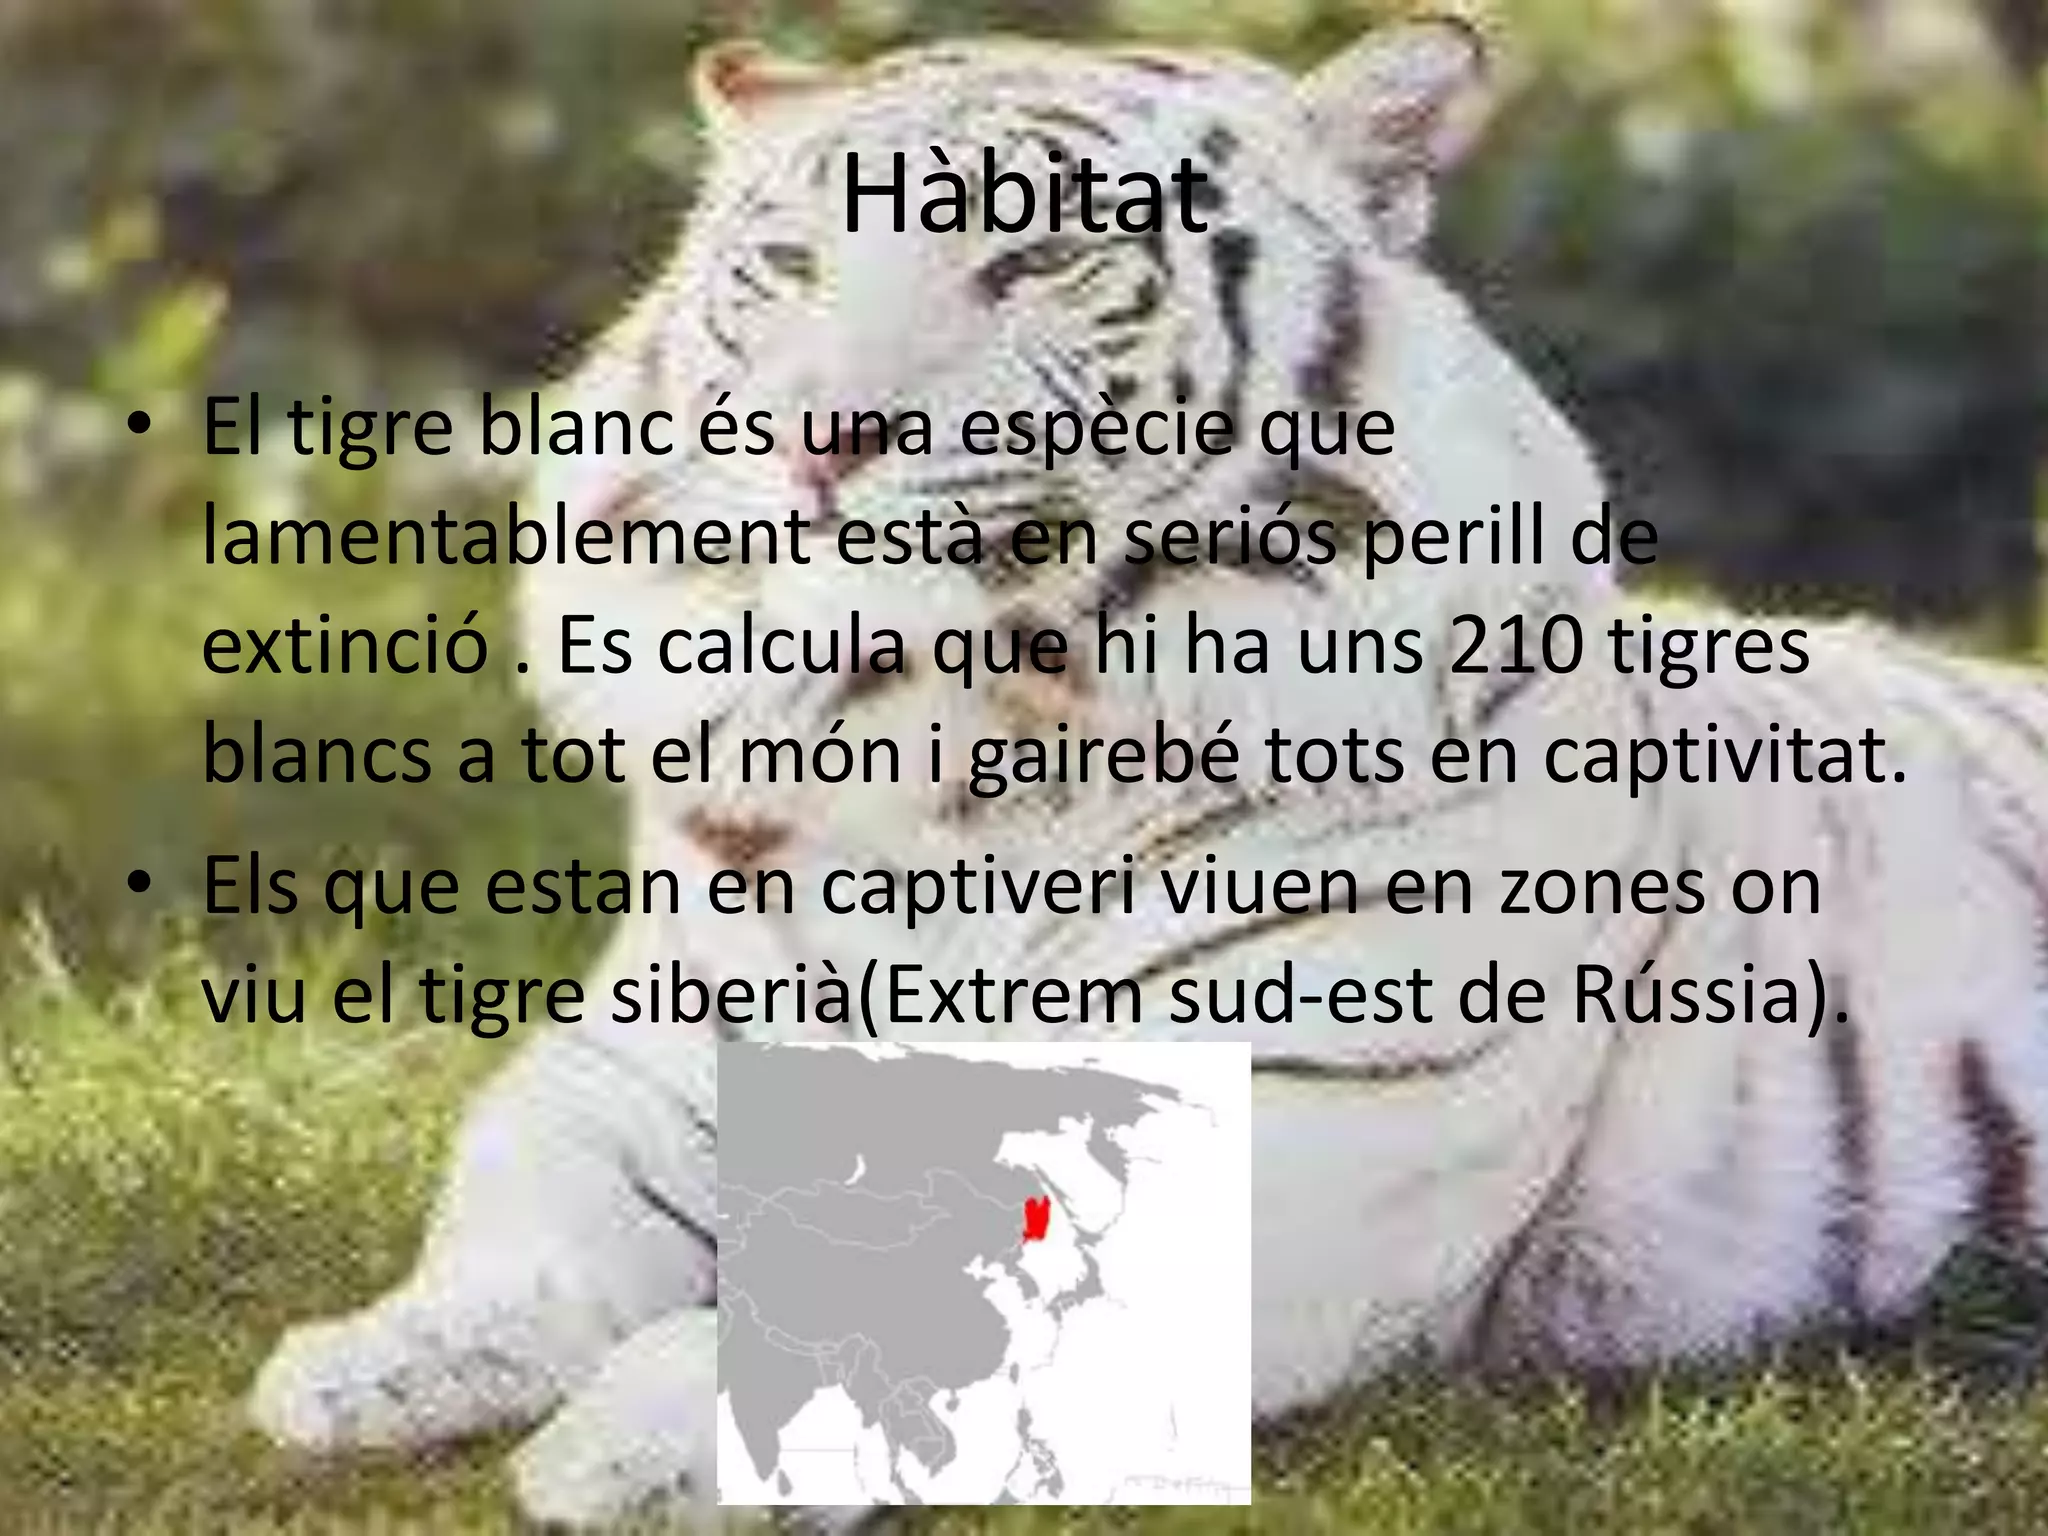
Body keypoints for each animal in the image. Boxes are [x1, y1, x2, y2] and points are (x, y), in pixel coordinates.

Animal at [248, 17, 2048, 1528]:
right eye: (790, 263)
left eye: (1036, 252)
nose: (818, 439)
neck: (959, 747)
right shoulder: (647, 1060)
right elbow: (524, 1217)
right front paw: (364, 1365)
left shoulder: (1287, 1112)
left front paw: (642, 1446)